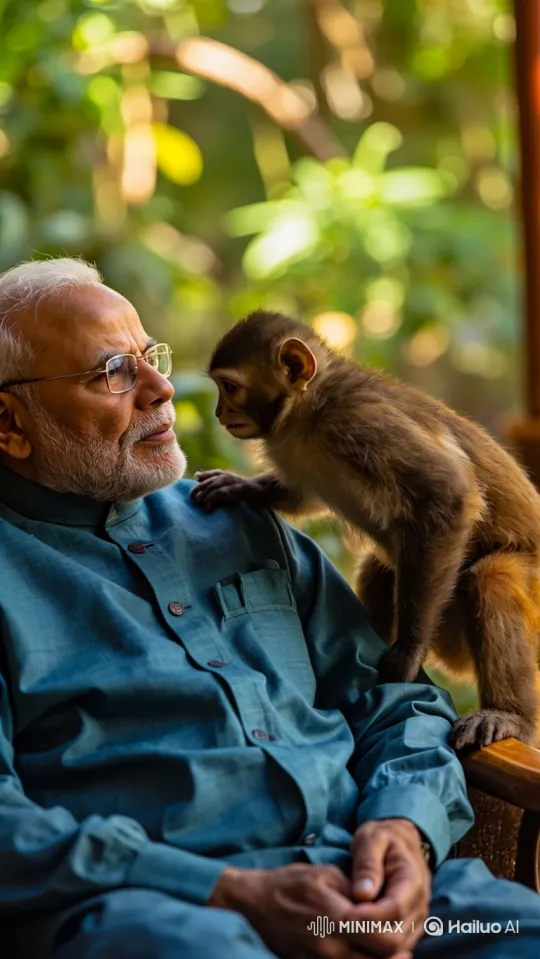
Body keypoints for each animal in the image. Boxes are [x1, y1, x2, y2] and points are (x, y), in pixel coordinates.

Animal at [191, 309, 540, 750]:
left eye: (230, 388)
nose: (219, 413)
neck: (309, 409)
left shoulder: (360, 420)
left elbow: (447, 496)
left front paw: (409, 651)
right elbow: (302, 495)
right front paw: (241, 487)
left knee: (495, 576)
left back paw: (510, 717)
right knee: (381, 569)